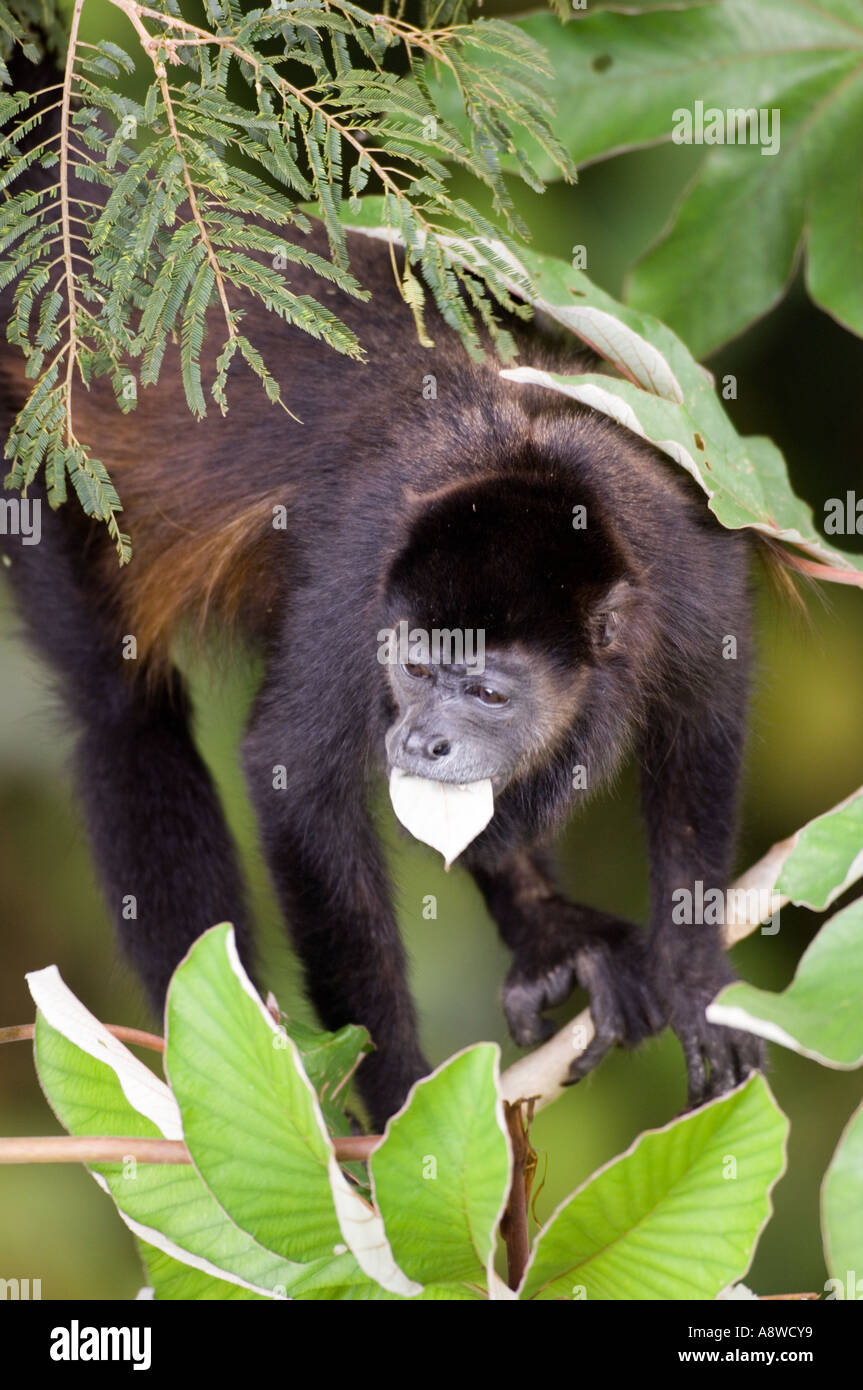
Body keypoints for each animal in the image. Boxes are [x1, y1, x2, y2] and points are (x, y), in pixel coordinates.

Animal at [1, 48, 765, 1131]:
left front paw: (695, 970)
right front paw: (403, 1092)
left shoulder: (684, 557)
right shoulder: (359, 578)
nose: (422, 739)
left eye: (486, 690)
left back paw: (545, 928)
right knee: (120, 711)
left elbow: (704, 718)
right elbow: (294, 780)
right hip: (43, 441)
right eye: (412, 669)